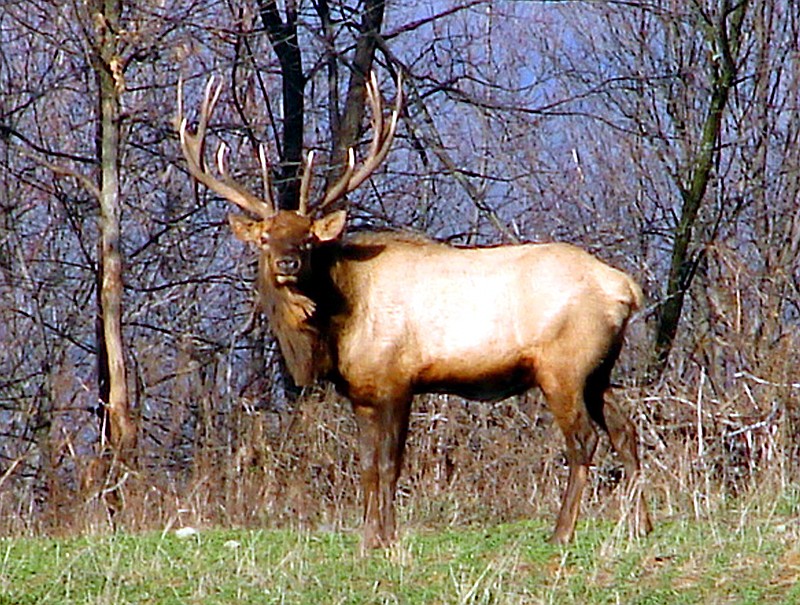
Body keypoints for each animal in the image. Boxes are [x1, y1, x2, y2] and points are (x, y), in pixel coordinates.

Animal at [175, 72, 653, 549]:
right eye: (265, 238)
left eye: (309, 238)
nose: (287, 263)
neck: (339, 324)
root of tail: (626, 289)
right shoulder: (362, 393)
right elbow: (367, 467)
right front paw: (369, 538)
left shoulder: (396, 380)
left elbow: (390, 464)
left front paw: (386, 538)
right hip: (599, 369)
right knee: (625, 431)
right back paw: (639, 524)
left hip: (563, 366)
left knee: (584, 440)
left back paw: (562, 532)